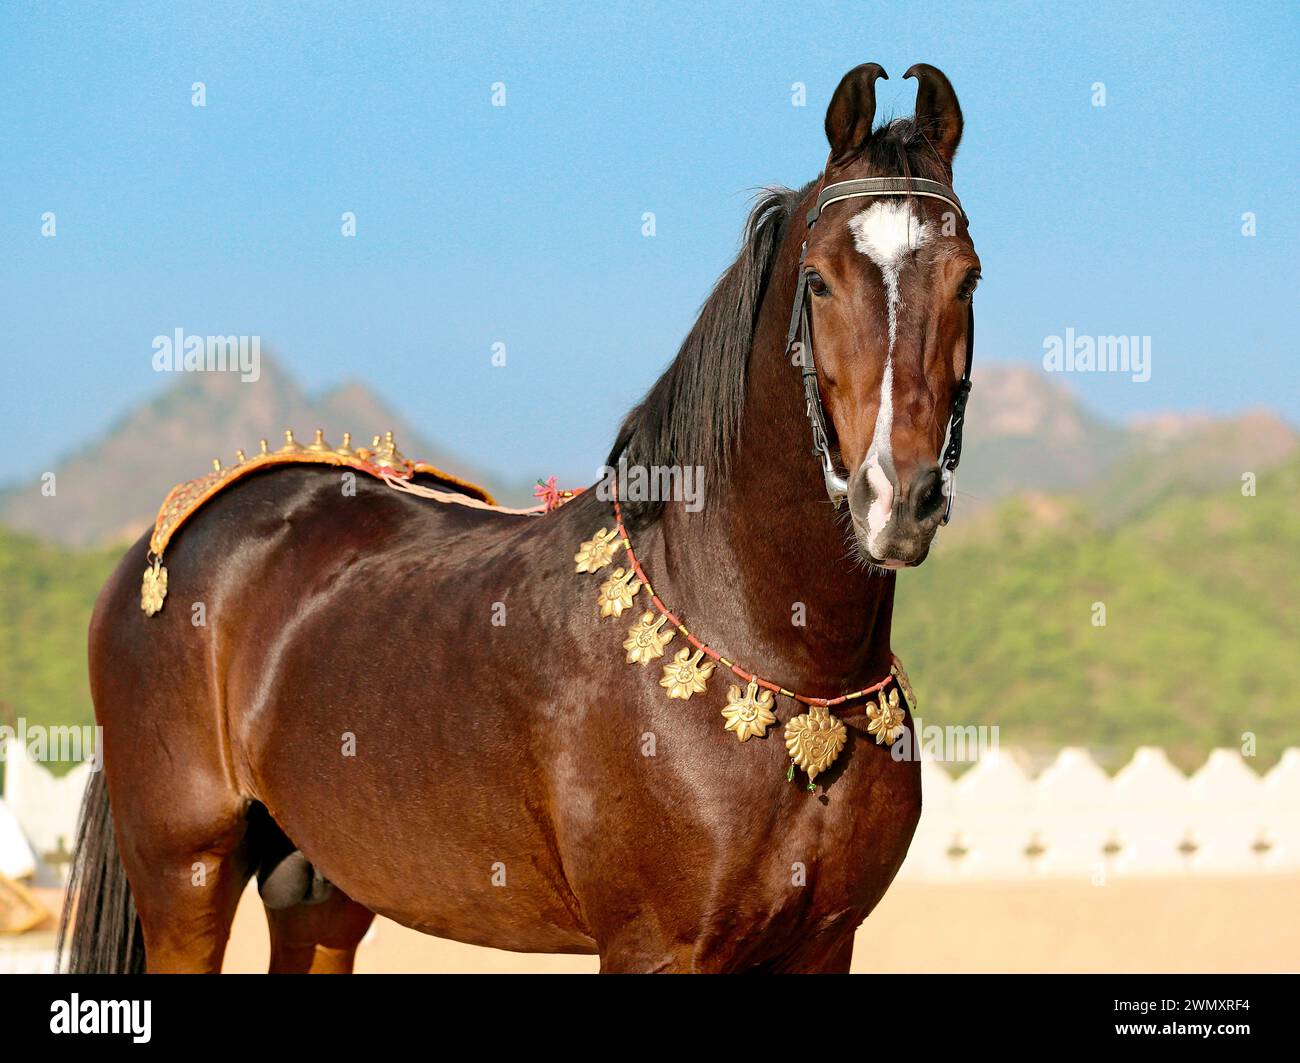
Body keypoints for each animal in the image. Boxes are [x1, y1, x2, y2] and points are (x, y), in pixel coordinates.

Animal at [61, 61, 979, 974]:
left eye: (966, 276)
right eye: (819, 278)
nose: (899, 498)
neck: (787, 667)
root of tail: (165, 540)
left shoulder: (824, 946)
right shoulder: (654, 947)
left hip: (319, 885)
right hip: (185, 872)